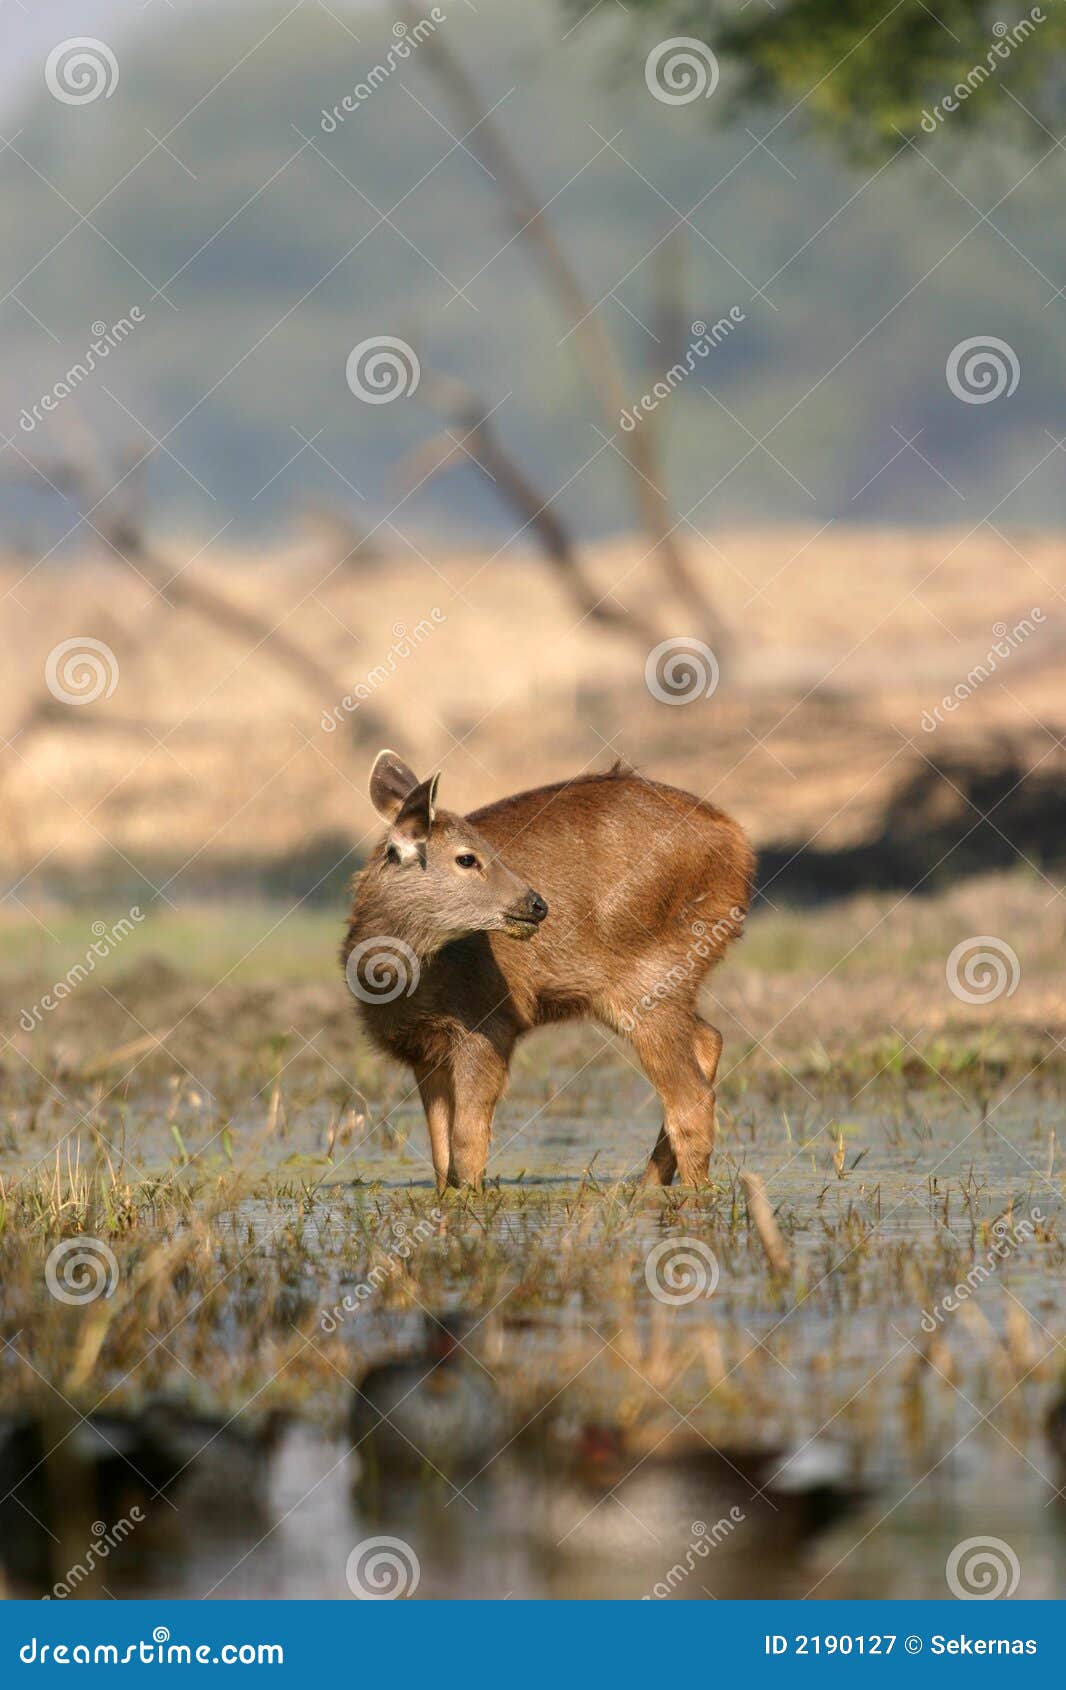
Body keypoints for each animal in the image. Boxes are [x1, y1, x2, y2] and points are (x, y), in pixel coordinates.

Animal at [341, 751, 753, 1193]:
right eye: (467, 857)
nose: (537, 904)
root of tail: (740, 844)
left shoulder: (487, 1020)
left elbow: (467, 1145)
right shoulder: (424, 1050)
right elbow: (440, 1156)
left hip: (651, 973)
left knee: (692, 1097)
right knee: (709, 1039)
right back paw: (646, 1186)